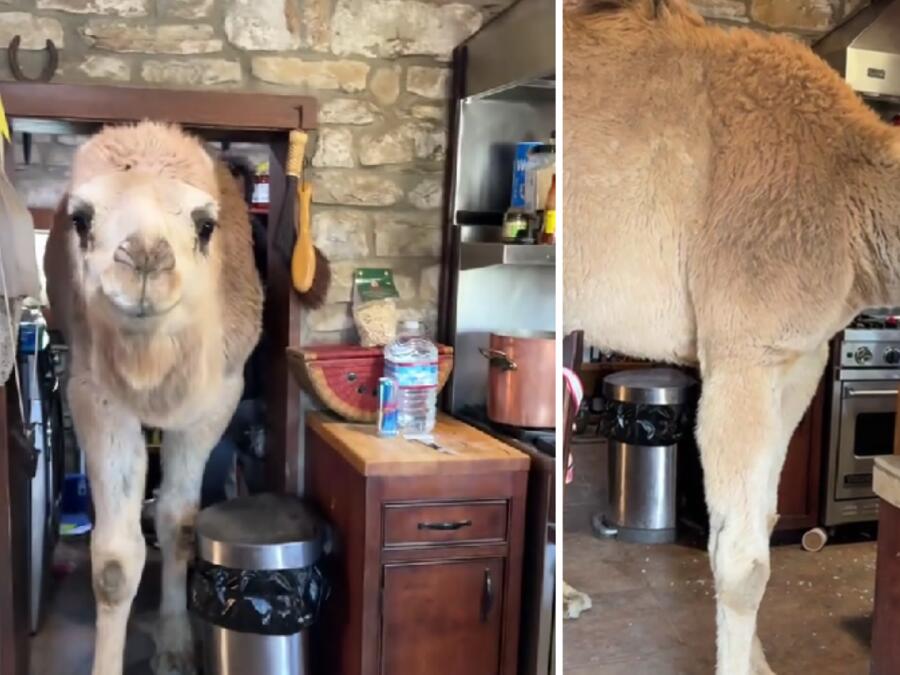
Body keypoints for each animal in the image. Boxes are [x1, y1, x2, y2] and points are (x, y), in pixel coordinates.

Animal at [42, 122, 315, 675]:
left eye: (205, 225)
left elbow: (179, 524)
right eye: (81, 219)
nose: (145, 257)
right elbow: (115, 562)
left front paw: (176, 647)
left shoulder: (214, 402)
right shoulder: (96, 399)